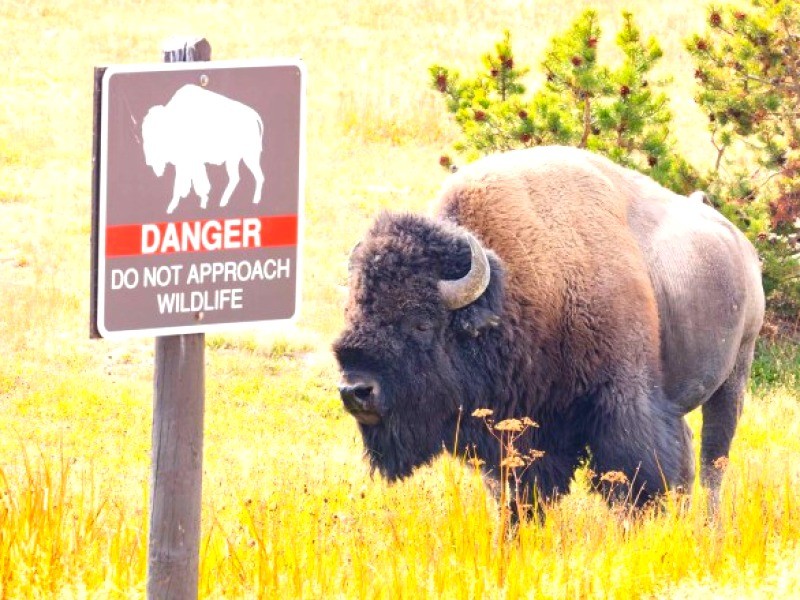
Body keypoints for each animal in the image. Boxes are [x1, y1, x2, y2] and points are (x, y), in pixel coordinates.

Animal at [334, 146, 764, 511]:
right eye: (353, 313)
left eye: (422, 323)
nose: (356, 391)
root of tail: (741, 246)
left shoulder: (622, 401)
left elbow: (634, 476)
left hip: (734, 376)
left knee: (713, 462)